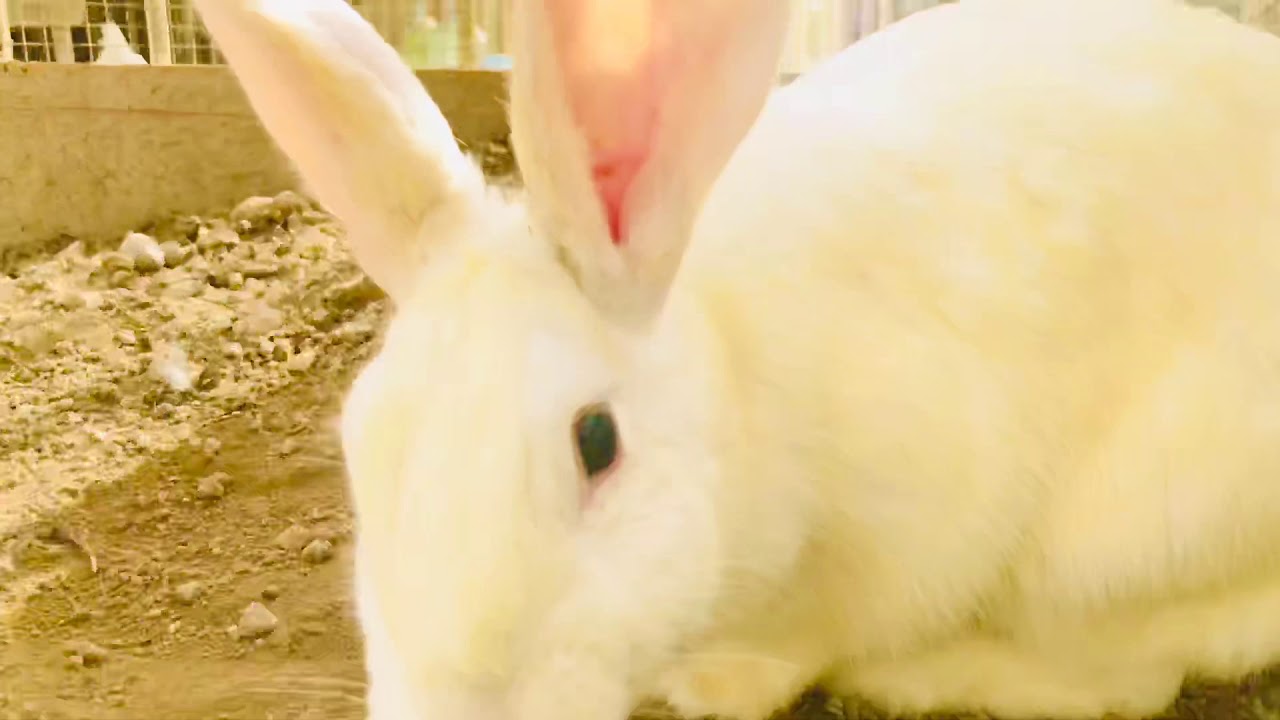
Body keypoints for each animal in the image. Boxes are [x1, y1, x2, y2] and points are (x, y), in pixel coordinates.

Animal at [191, 0, 1280, 719]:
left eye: (597, 444)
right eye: (361, 447)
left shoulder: (900, 537)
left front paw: (711, 685)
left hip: (1127, 536)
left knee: (1130, 671)